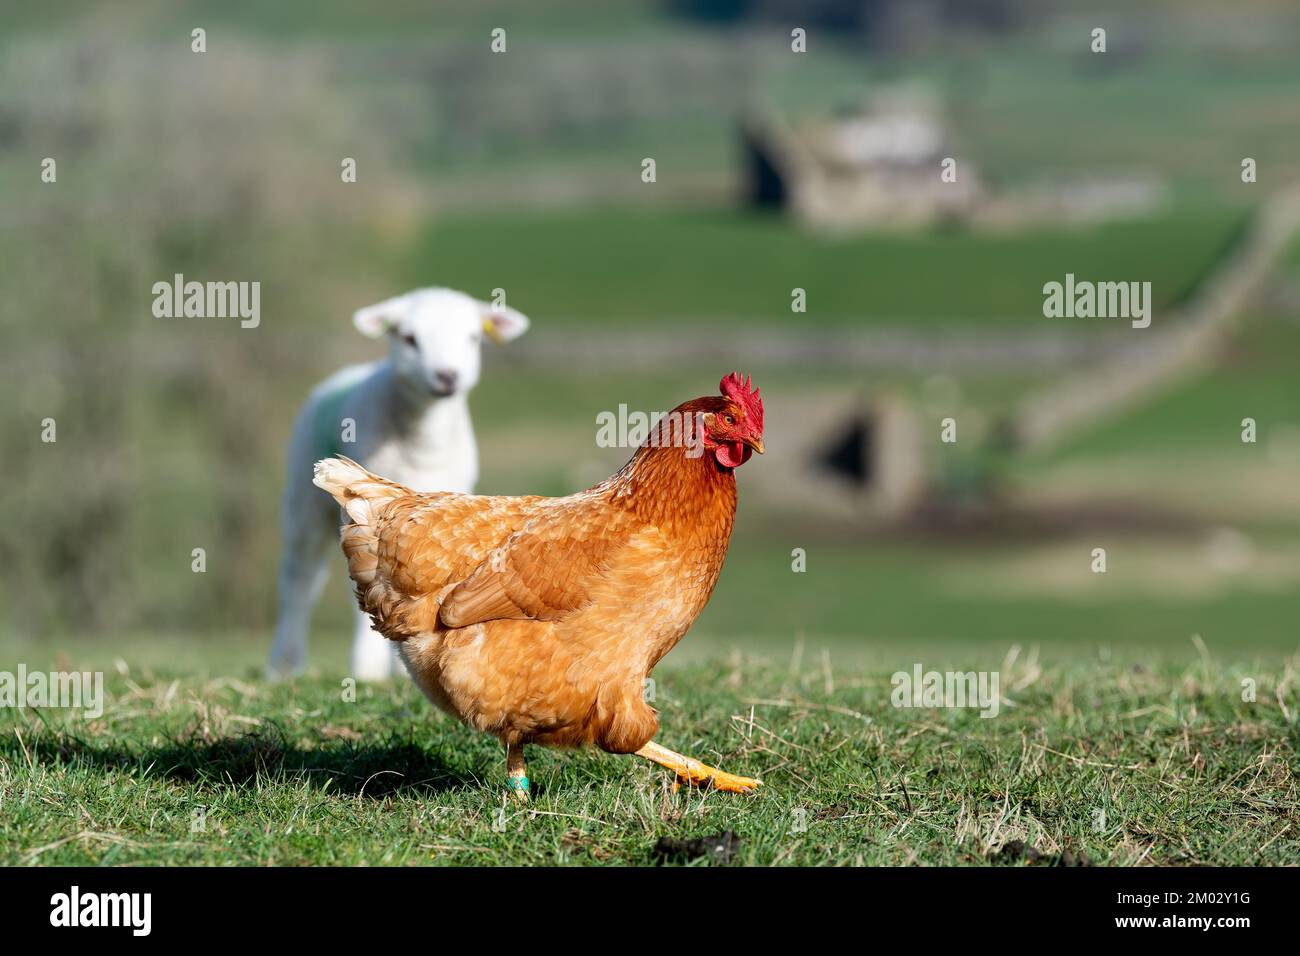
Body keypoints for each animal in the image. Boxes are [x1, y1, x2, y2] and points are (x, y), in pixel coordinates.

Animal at [267, 288, 530, 680]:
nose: (447, 376)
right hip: (304, 498)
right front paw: (370, 667)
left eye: (472, 338)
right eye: (409, 339)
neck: (423, 441)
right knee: (299, 580)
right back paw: (286, 663)